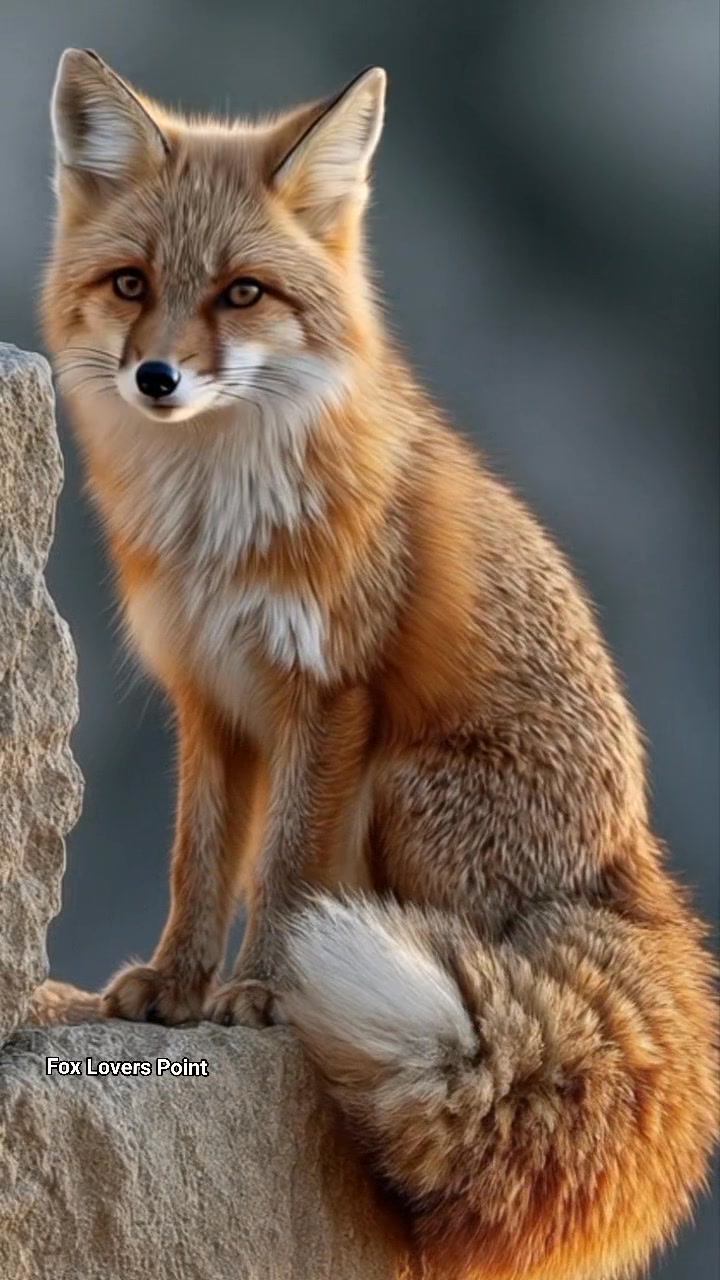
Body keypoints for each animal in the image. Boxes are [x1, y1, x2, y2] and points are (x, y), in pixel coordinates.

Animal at [42, 48, 717, 1280]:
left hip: (405, 790)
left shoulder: (330, 690)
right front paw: (175, 985)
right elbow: (199, 863)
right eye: (129, 283)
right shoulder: (208, 699)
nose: (156, 376)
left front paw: (258, 992)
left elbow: (281, 870)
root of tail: (638, 878)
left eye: (242, 294)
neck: (217, 525)